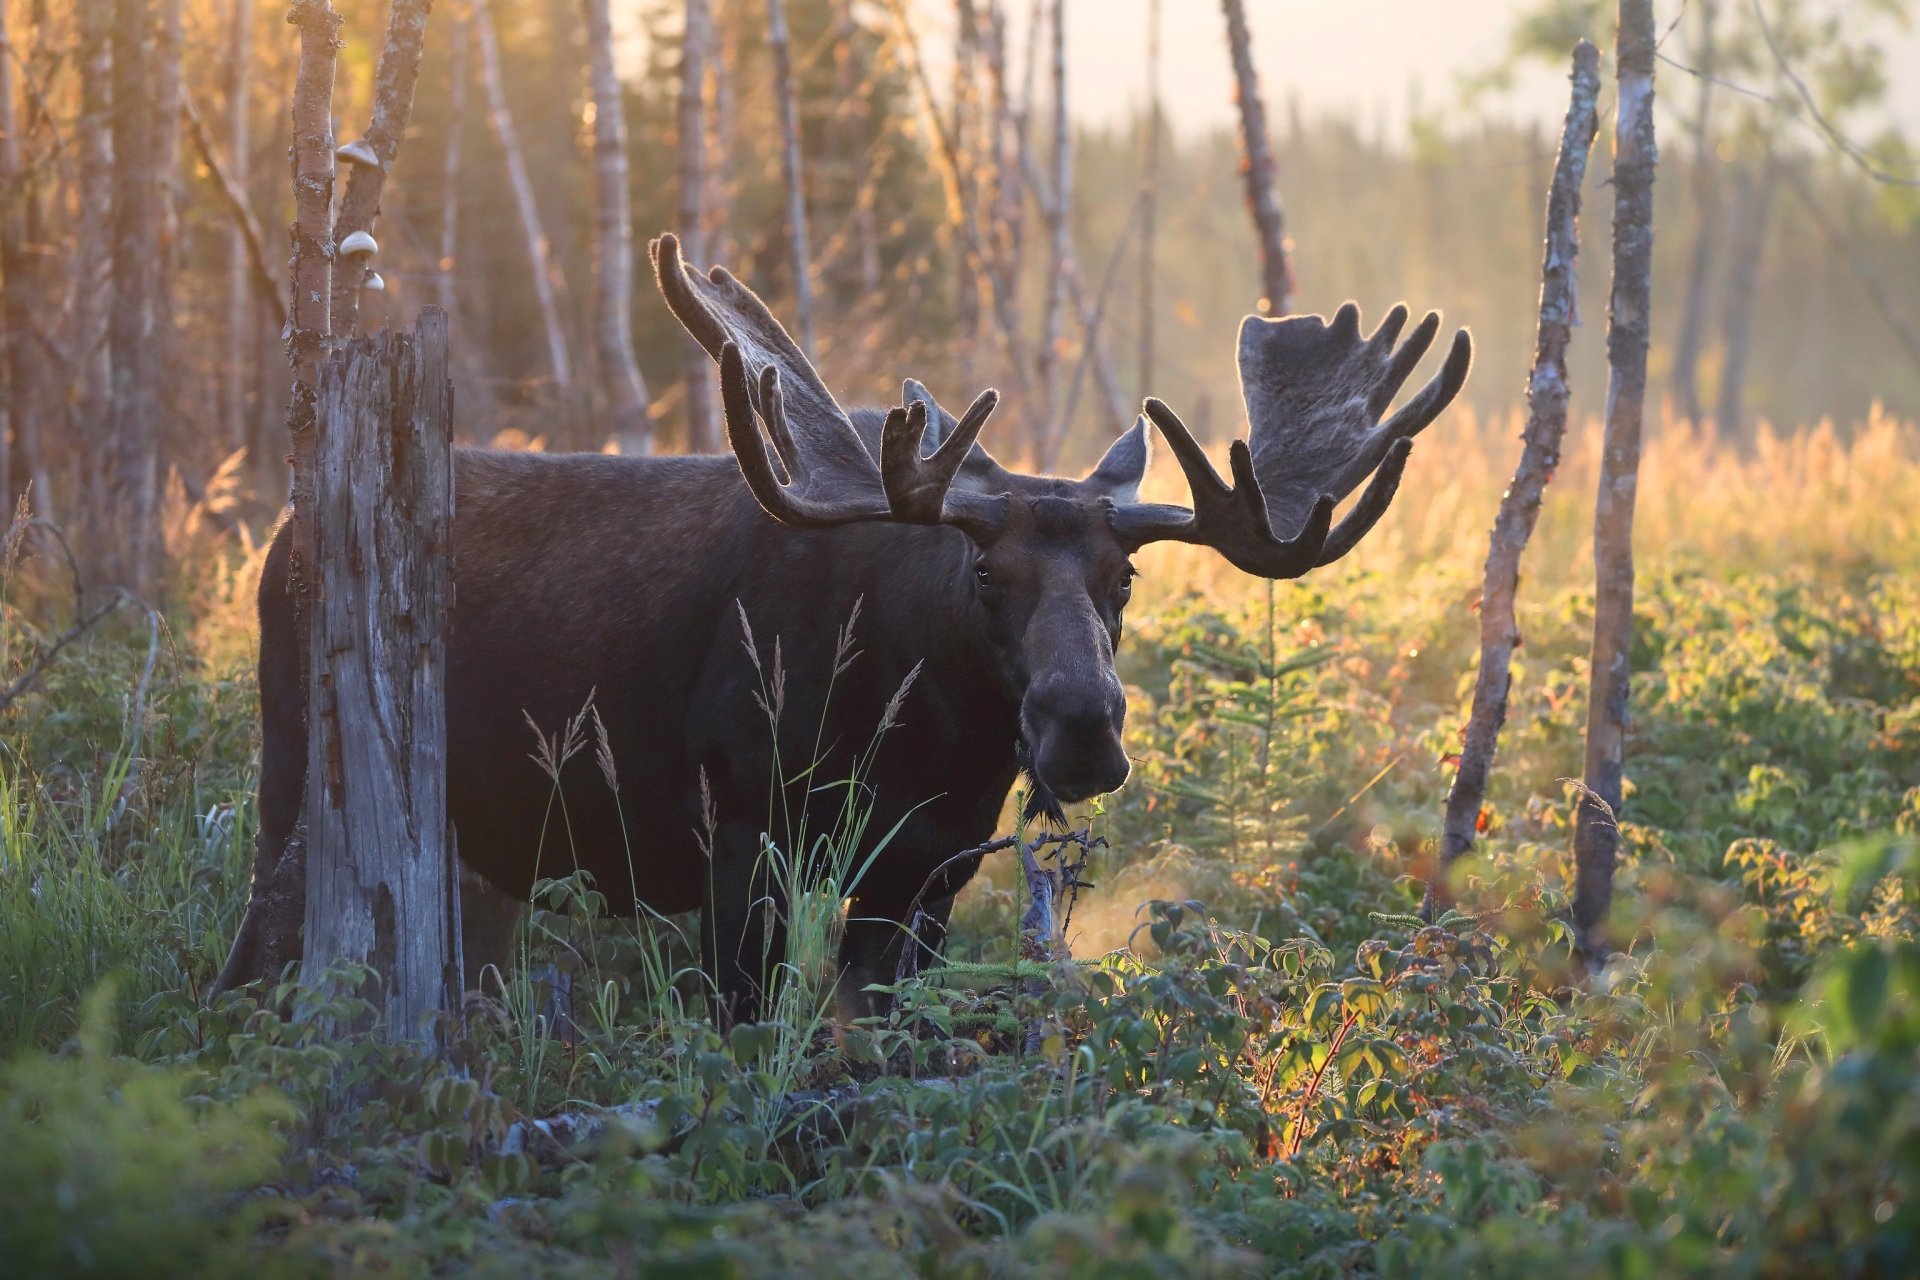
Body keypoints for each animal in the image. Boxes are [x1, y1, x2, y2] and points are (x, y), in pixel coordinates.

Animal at [214, 233, 1470, 1023]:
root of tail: (279, 536)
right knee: (250, 949)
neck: (919, 739)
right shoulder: (739, 826)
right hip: (293, 773)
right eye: (984, 570)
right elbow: (740, 1022)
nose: (1084, 727)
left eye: (1124, 576)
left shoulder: (930, 867)